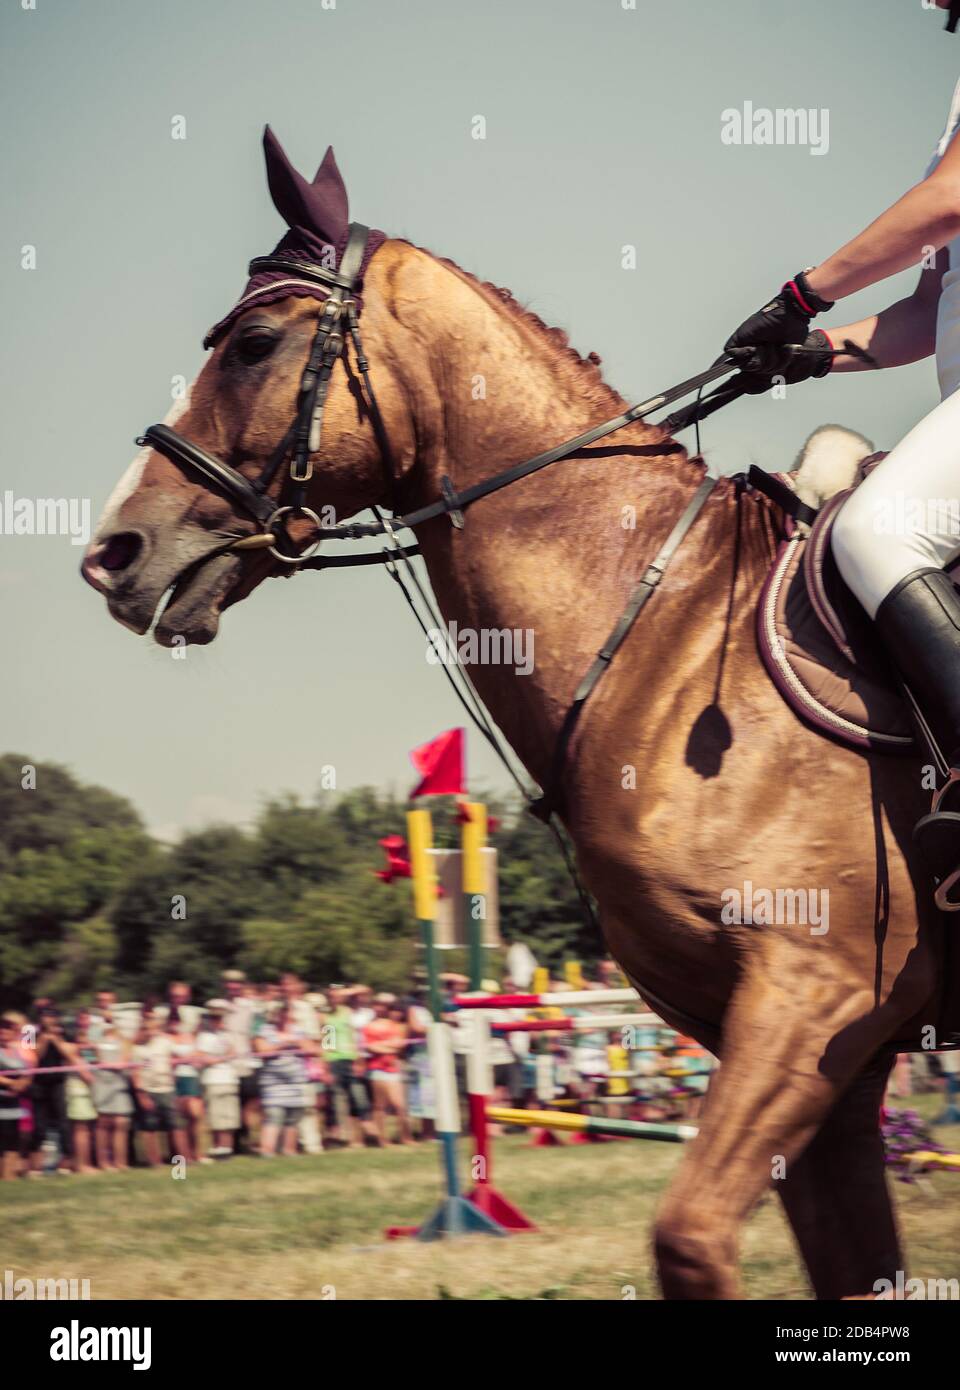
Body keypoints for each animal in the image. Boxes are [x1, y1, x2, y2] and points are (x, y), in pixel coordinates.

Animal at [82, 133, 958, 1299]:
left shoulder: (817, 994)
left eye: (255, 344)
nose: (112, 552)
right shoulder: (817, 1057)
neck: (664, 626)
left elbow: (689, 1238)